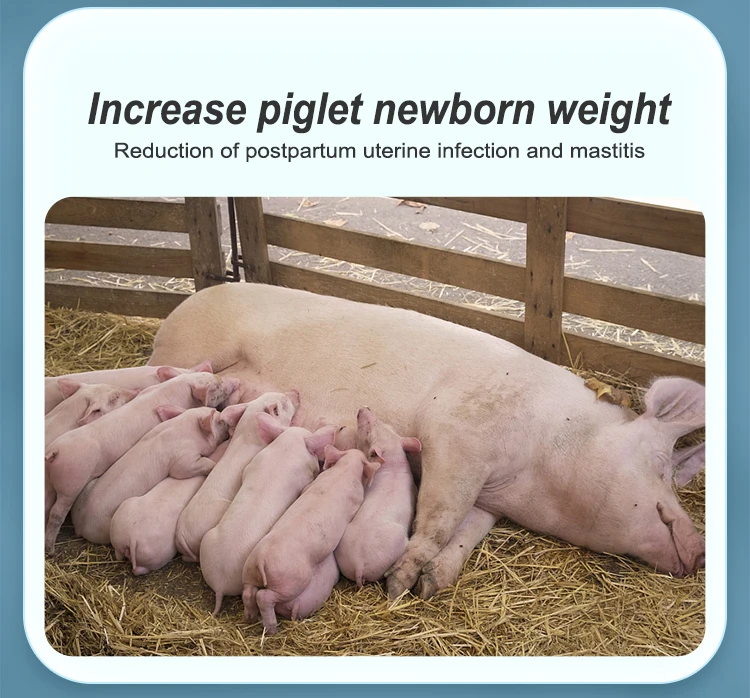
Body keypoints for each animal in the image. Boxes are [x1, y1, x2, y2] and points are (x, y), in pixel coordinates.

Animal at [71, 406, 234, 545]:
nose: (223, 414)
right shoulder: (183, 460)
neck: (183, 428)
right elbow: (191, 467)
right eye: (219, 422)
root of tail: (80, 525)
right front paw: (213, 465)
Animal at [242, 446, 379, 634]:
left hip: (249, 570)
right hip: (291, 581)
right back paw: (271, 629)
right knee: (263, 596)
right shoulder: (357, 498)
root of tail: (261, 560)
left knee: (248, 592)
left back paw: (250, 617)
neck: (345, 469)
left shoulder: (310, 485)